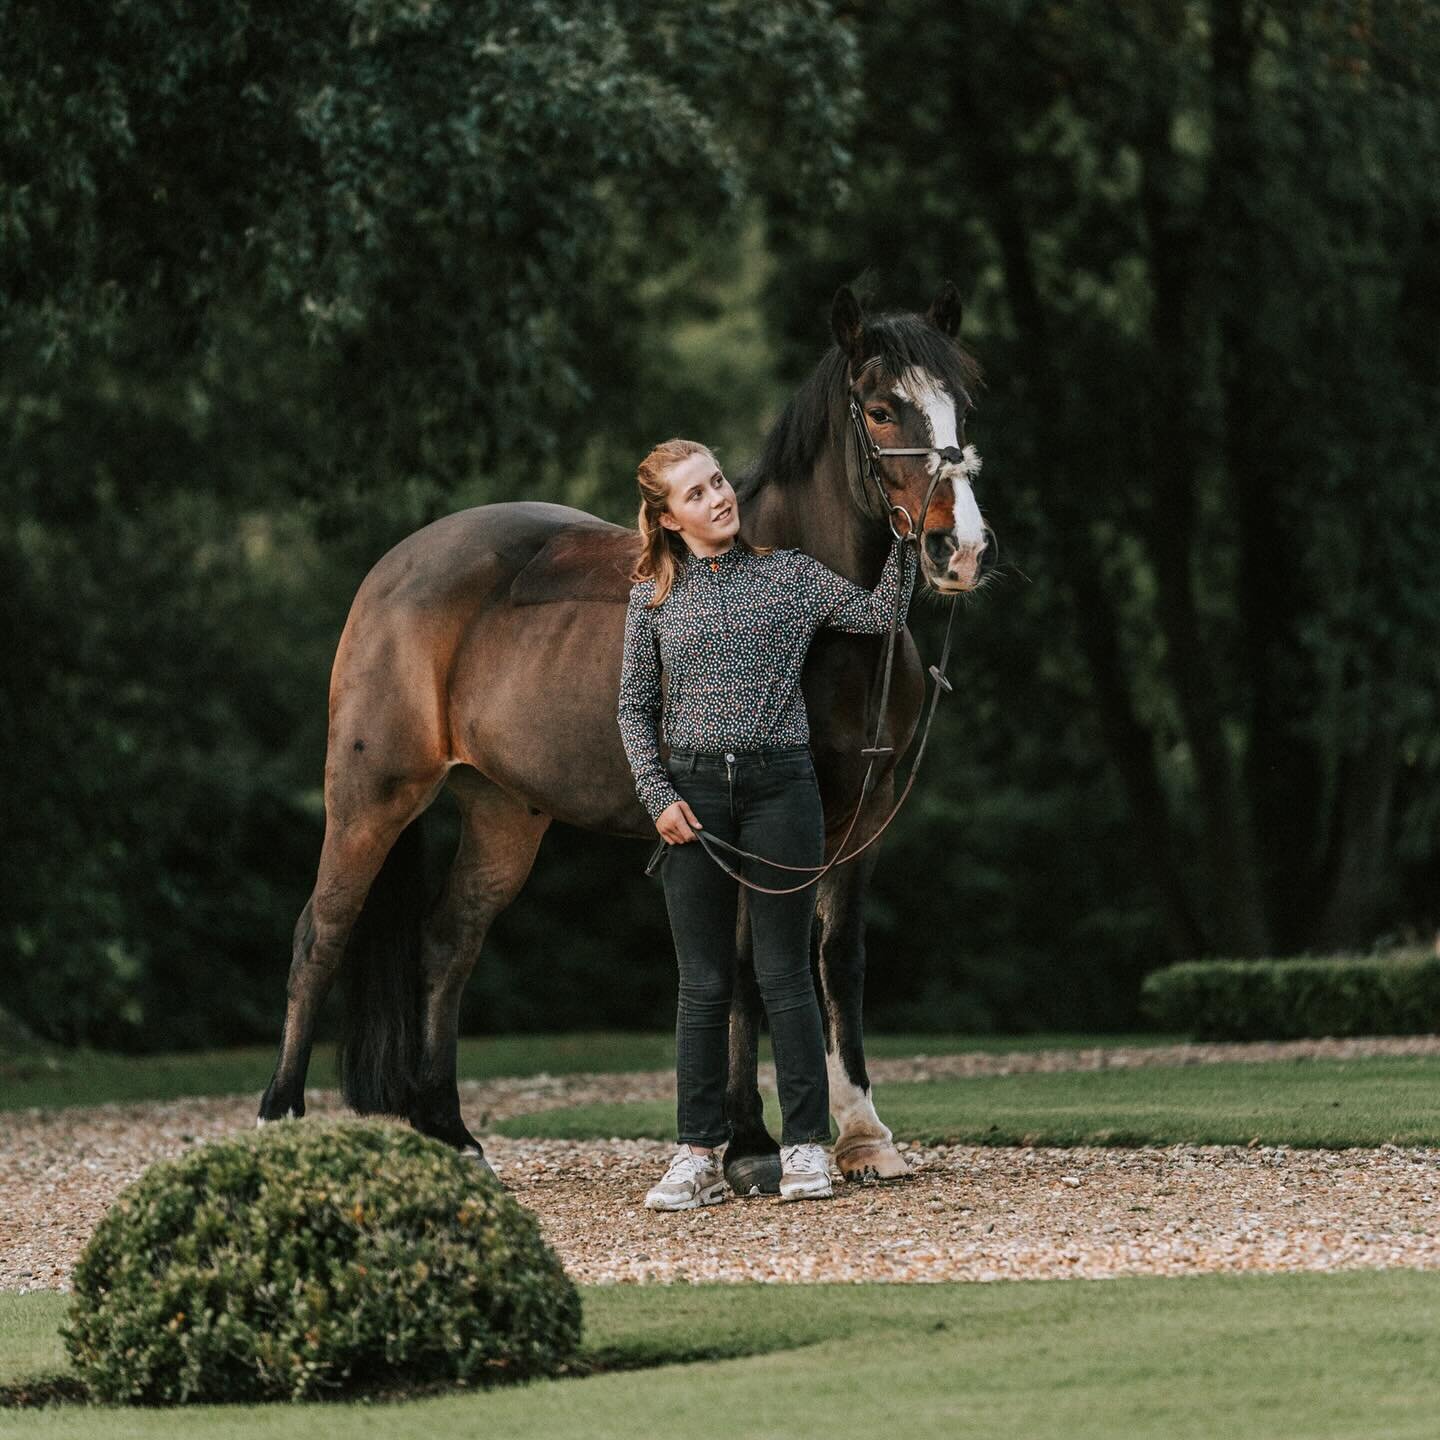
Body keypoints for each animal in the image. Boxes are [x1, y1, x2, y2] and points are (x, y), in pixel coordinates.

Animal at [259, 283, 984, 1192]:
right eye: (883, 409)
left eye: (963, 405)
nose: (961, 549)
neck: (829, 622)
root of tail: (395, 567)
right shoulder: (751, 825)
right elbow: (744, 970)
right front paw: (749, 1144)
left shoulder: (864, 814)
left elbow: (838, 958)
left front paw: (864, 1138)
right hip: (372, 797)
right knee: (319, 936)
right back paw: (279, 1124)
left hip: (502, 813)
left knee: (446, 944)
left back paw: (451, 1132)